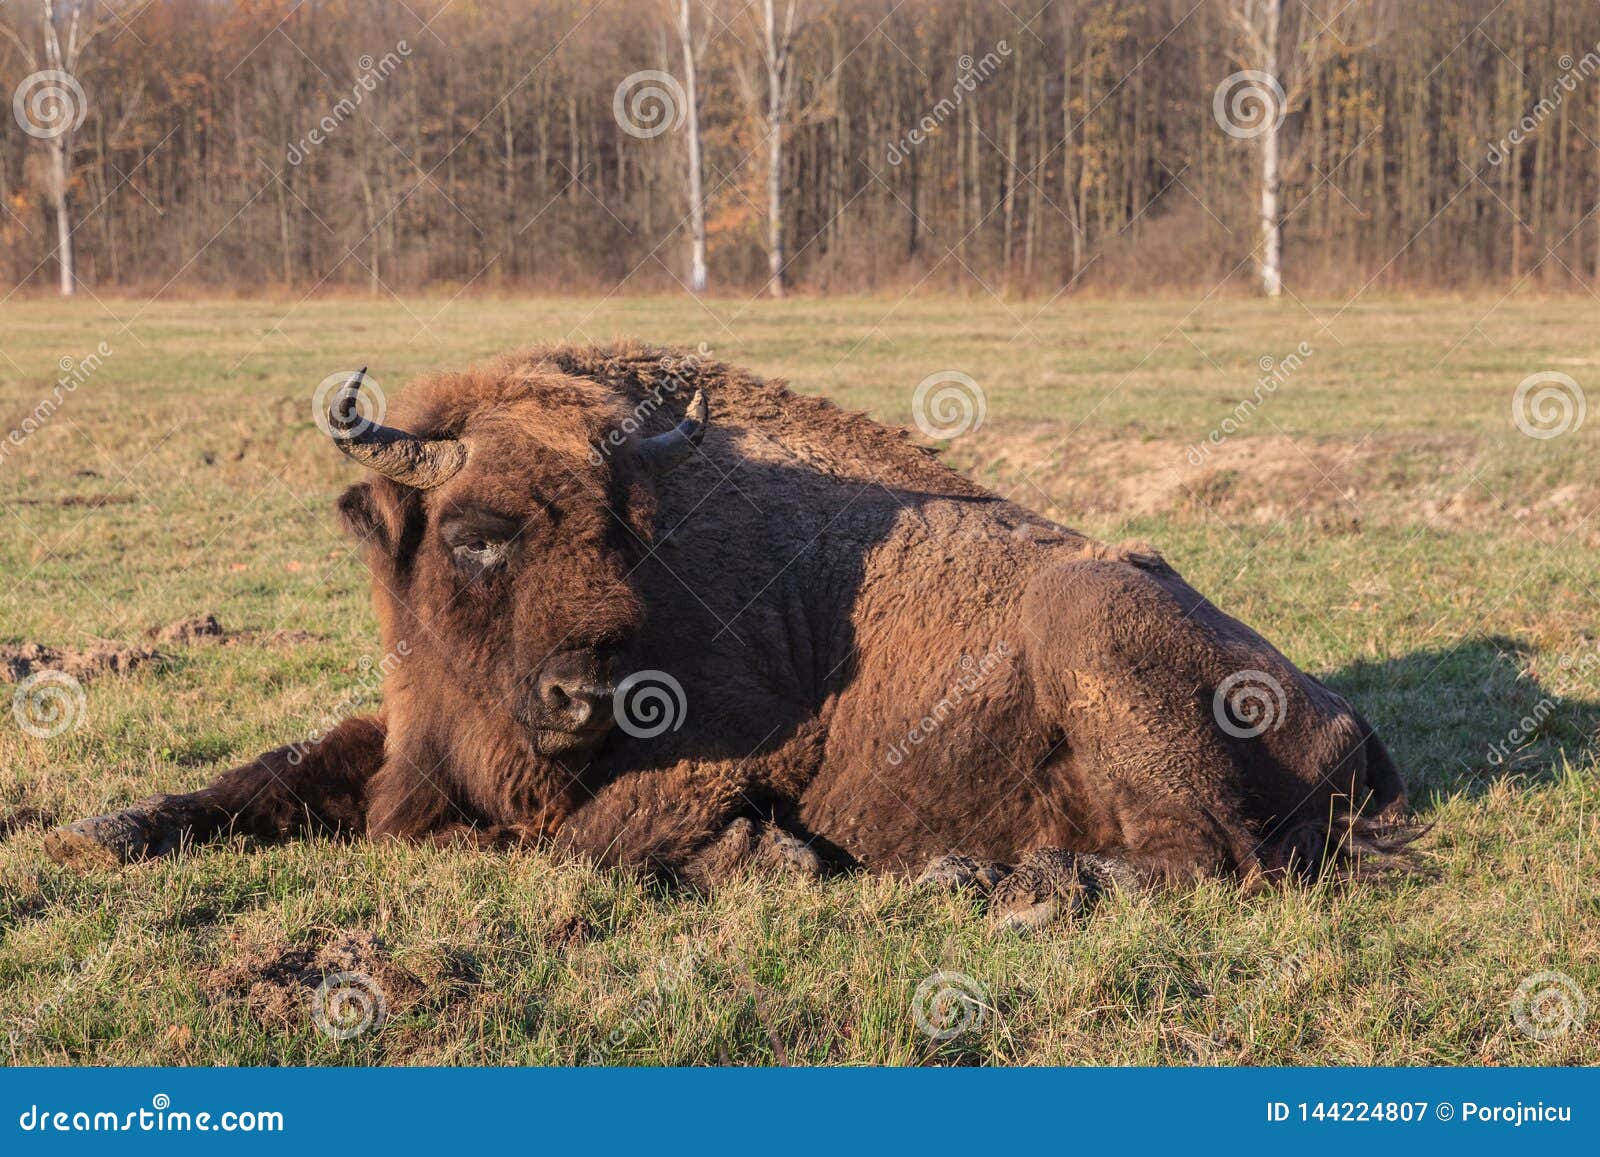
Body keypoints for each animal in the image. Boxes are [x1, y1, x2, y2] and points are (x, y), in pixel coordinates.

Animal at [48, 344, 1411, 929]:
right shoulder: (406, 733)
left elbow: (572, 844)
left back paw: (1002, 882)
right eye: (476, 533)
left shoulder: (739, 751)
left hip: (1095, 637)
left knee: (1212, 856)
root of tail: (1349, 720)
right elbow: (276, 771)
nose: (584, 692)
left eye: (627, 530)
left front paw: (772, 859)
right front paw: (102, 828)